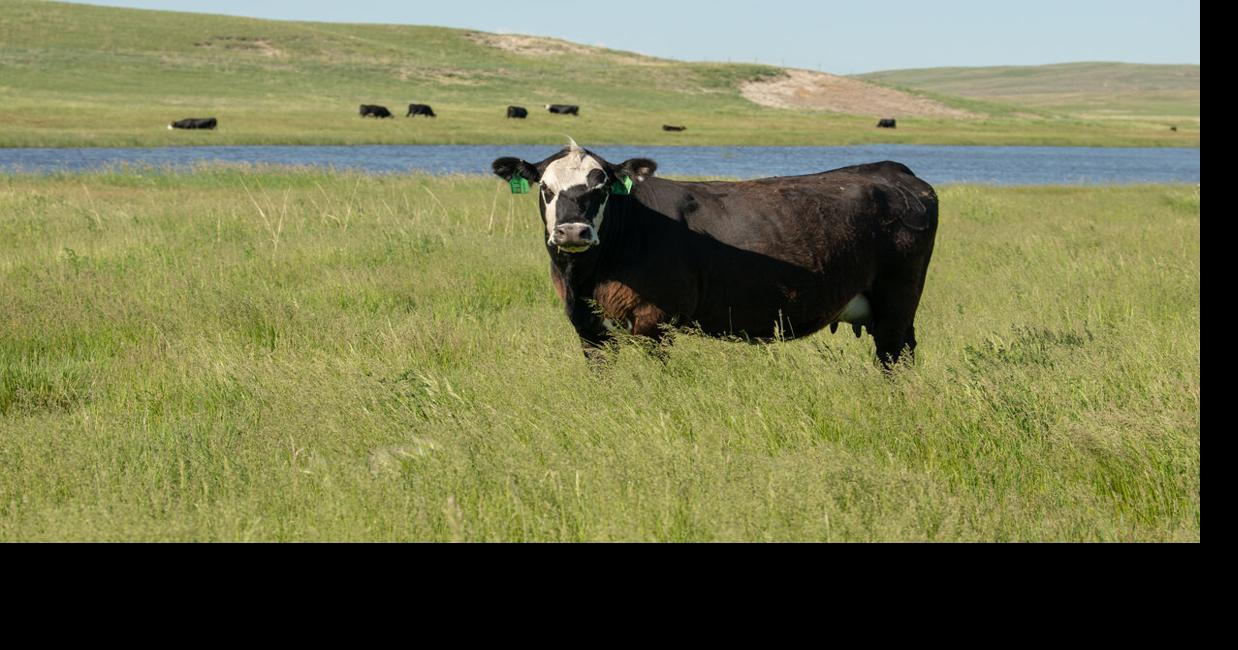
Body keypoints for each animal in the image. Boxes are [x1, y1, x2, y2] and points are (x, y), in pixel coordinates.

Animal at [491, 141, 938, 368]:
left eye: (600, 187)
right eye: (545, 188)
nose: (572, 231)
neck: (587, 277)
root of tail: (892, 170)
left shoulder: (654, 321)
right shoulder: (588, 327)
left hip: (897, 301)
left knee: (894, 356)